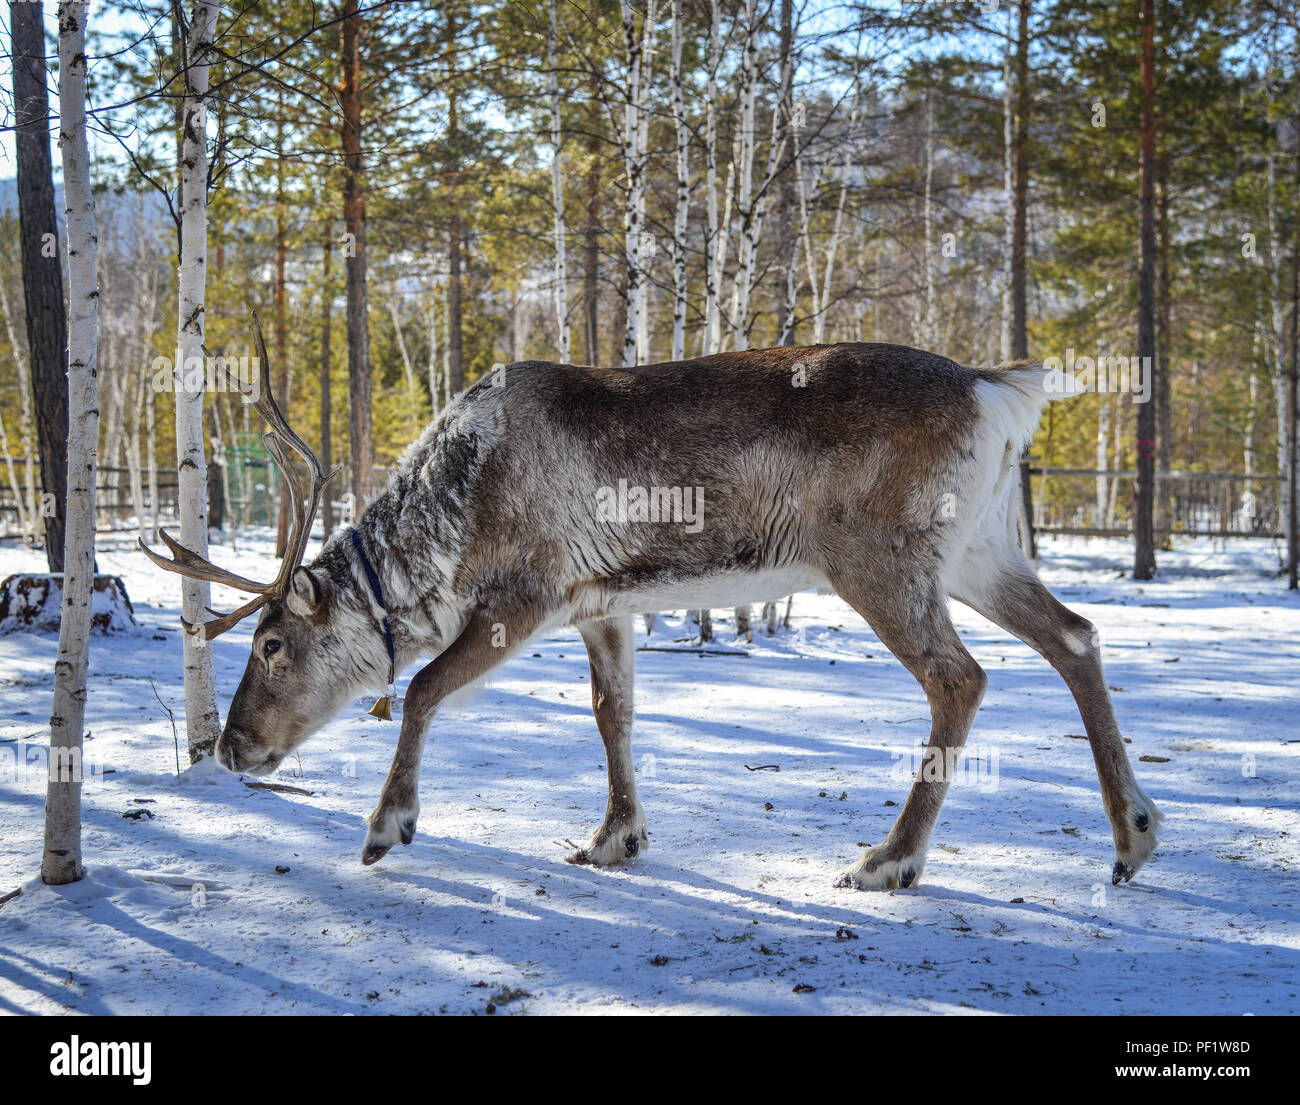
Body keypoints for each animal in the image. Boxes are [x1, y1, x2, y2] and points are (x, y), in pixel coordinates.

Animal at [141, 327, 1163, 891]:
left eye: (273, 643)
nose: (233, 747)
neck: (450, 516)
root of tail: (998, 386)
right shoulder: (603, 603)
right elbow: (614, 712)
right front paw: (615, 837)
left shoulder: (526, 594)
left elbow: (425, 688)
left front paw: (388, 826)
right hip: (980, 547)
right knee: (1075, 635)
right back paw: (1133, 837)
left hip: (881, 557)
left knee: (962, 676)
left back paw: (888, 860)